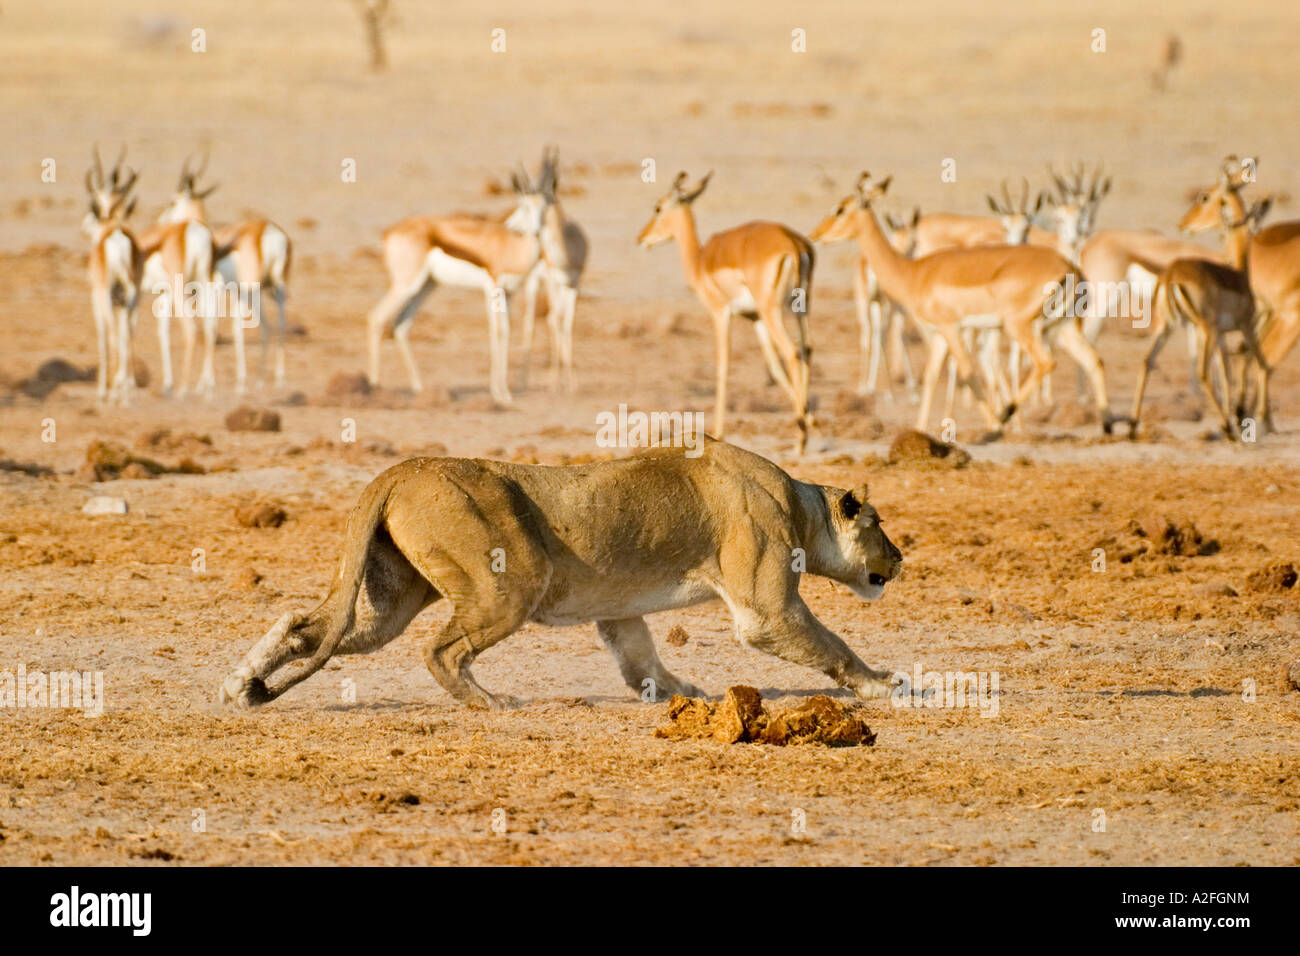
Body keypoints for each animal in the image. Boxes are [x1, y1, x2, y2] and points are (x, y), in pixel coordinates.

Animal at [220, 439, 903, 710]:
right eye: (879, 525)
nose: (899, 559)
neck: (801, 505)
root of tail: (399, 469)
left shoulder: (620, 610)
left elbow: (640, 658)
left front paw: (681, 693)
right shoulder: (767, 610)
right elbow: (830, 644)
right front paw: (881, 684)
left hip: (393, 599)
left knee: (307, 626)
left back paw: (240, 685)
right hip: (510, 582)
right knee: (441, 651)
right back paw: (492, 702)